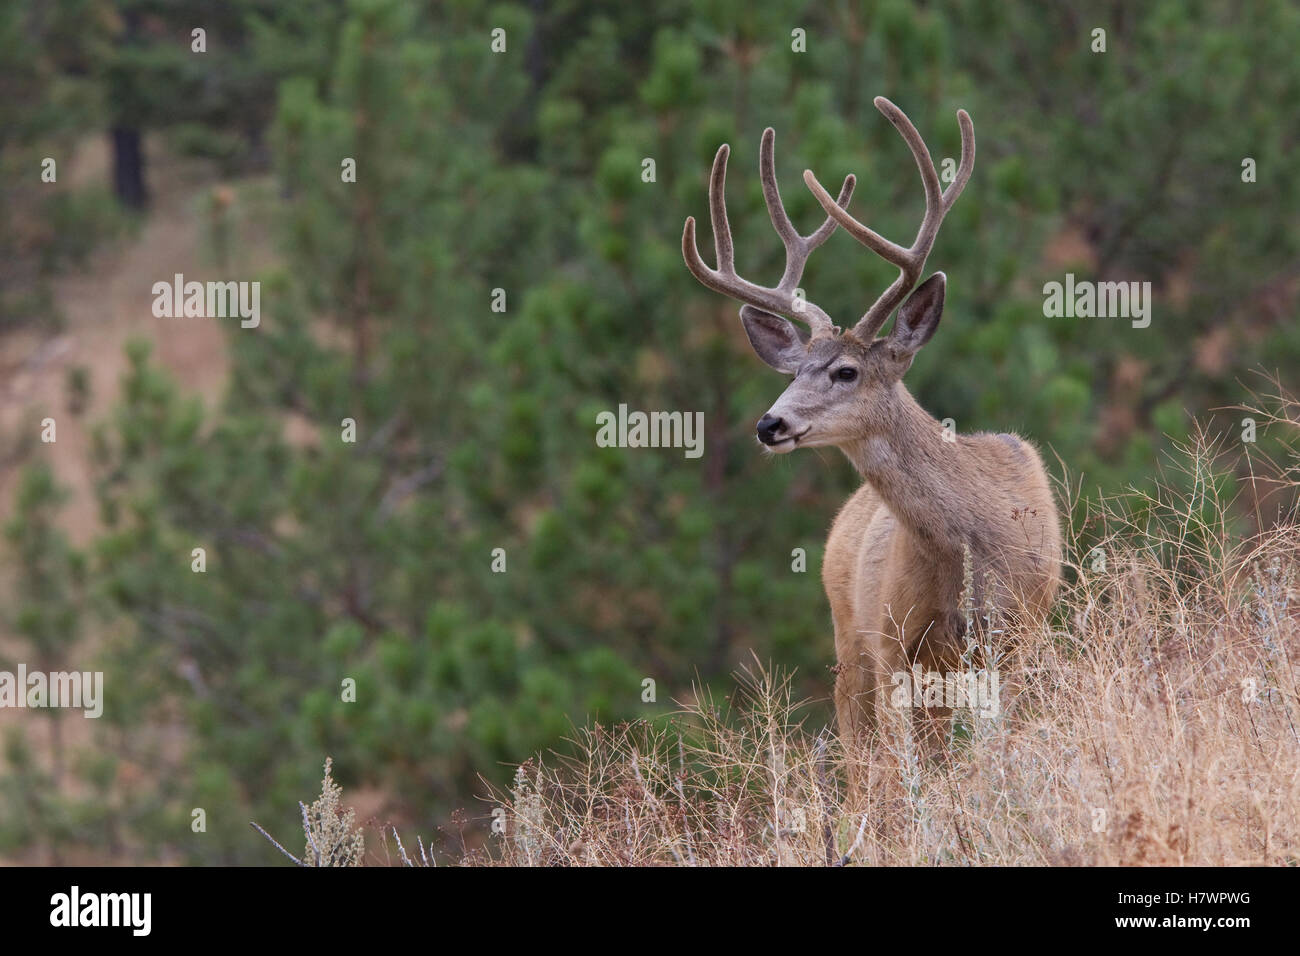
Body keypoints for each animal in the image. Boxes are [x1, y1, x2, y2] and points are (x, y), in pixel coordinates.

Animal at [681, 97, 1062, 753]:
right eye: (796, 369)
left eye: (846, 371)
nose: (769, 424)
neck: (972, 548)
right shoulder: (893, 644)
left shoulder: (1019, 636)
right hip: (851, 638)